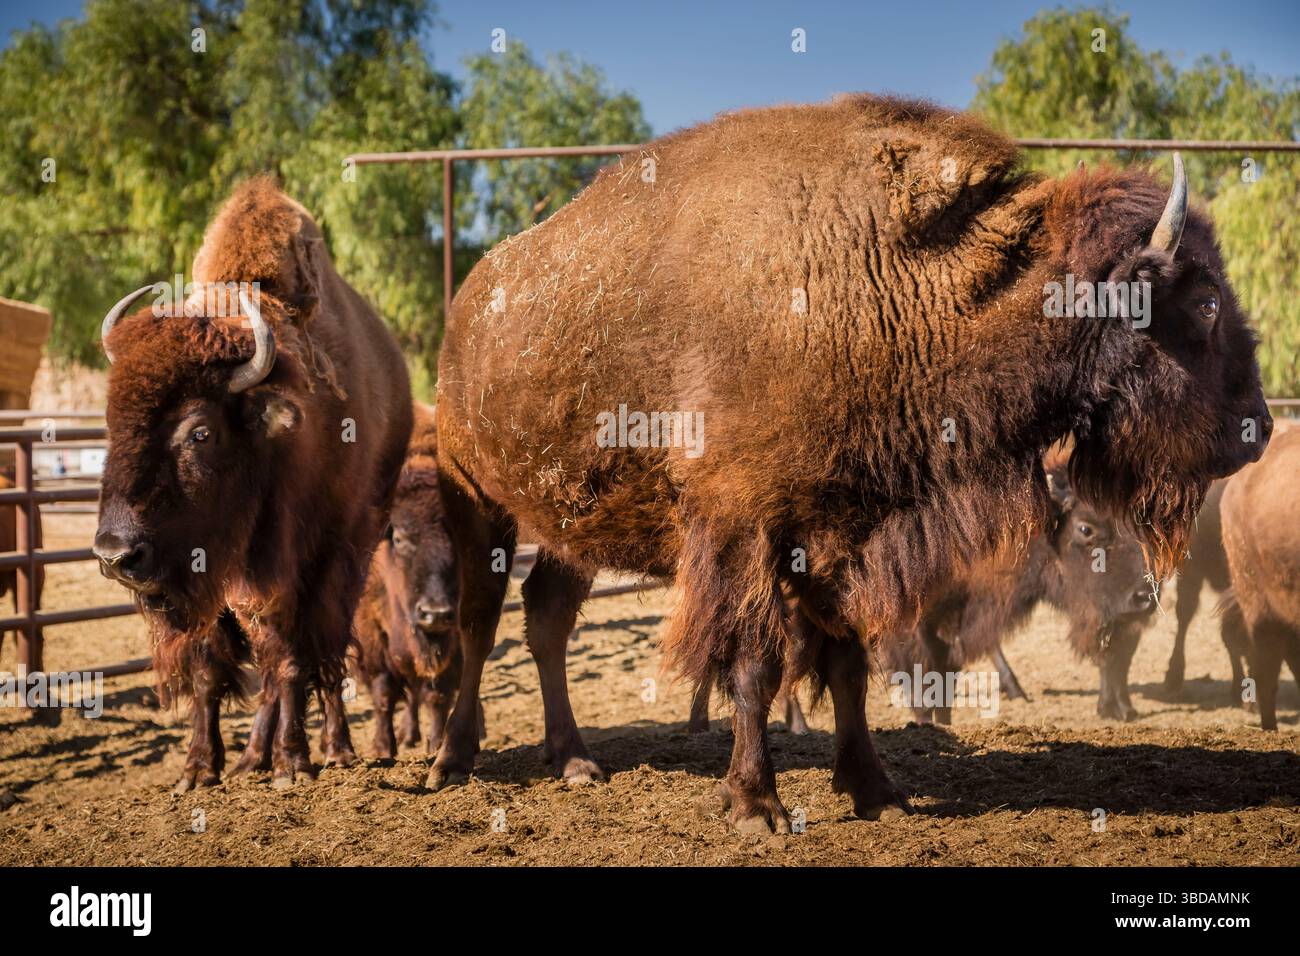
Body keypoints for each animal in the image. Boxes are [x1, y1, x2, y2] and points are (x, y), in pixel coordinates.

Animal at [94, 178, 412, 791]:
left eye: (199, 432)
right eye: (111, 422)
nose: (116, 554)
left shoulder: (285, 572)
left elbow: (290, 659)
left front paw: (294, 763)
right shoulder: (208, 583)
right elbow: (210, 670)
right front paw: (199, 769)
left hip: (353, 551)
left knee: (325, 658)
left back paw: (334, 750)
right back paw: (251, 759)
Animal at [434, 94, 1270, 831]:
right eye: (1204, 302)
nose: (1258, 426)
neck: (883, 287)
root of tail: (470, 303)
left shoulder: (841, 538)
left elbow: (845, 666)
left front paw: (876, 790)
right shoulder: (747, 535)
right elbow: (756, 665)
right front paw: (756, 806)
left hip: (567, 528)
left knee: (545, 619)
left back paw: (575, 760)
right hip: (478, 503)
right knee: (479, 622)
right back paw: (451, 759)